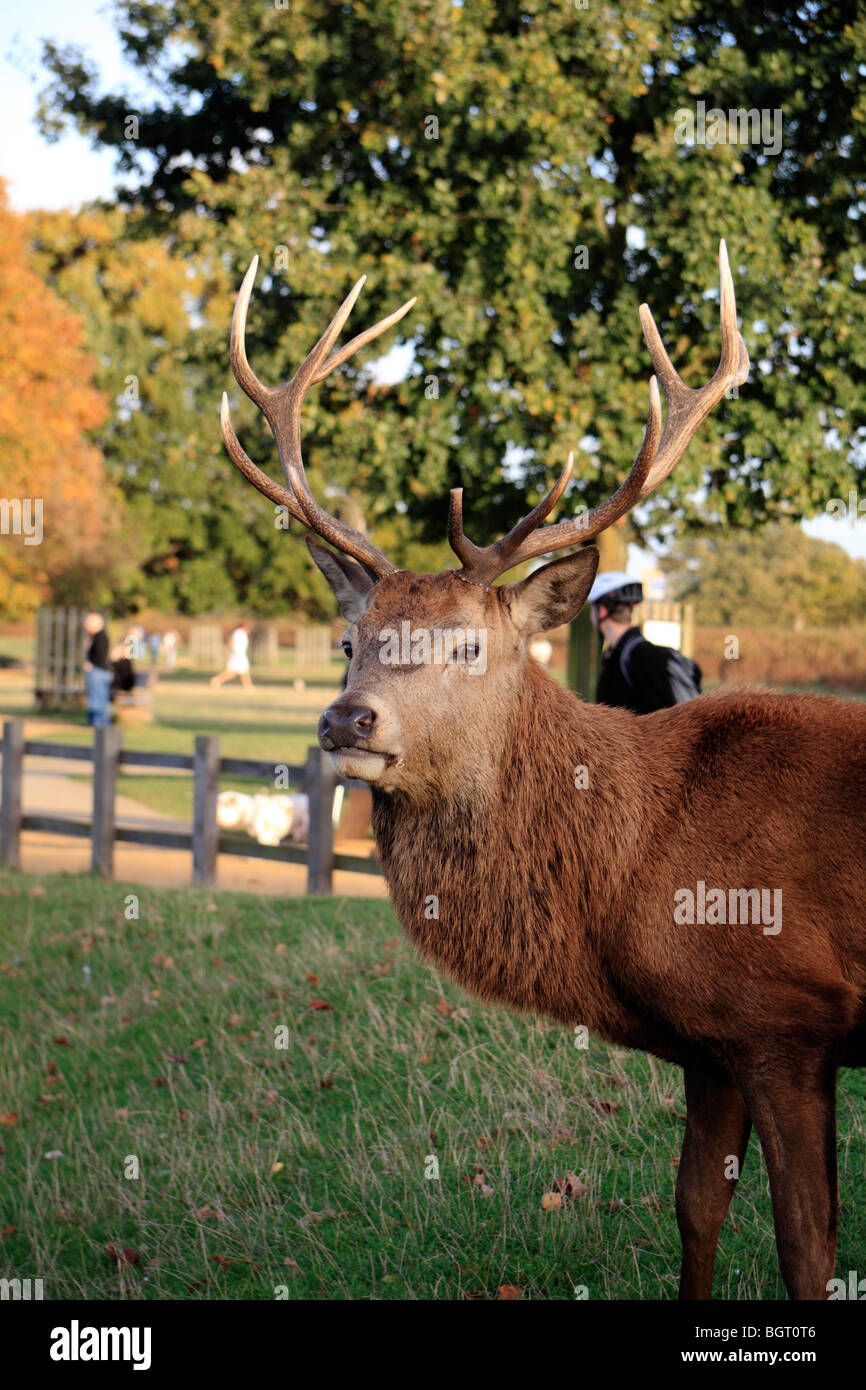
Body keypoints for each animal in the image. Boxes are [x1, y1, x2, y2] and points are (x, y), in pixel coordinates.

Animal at [219, 243, 866, 1301]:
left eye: (470, 645)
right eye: (351, 639)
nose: (346, 717)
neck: (637, 870)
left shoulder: (787, 1016)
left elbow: (808, 1248)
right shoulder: (715, 1043)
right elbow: (696, 1207)